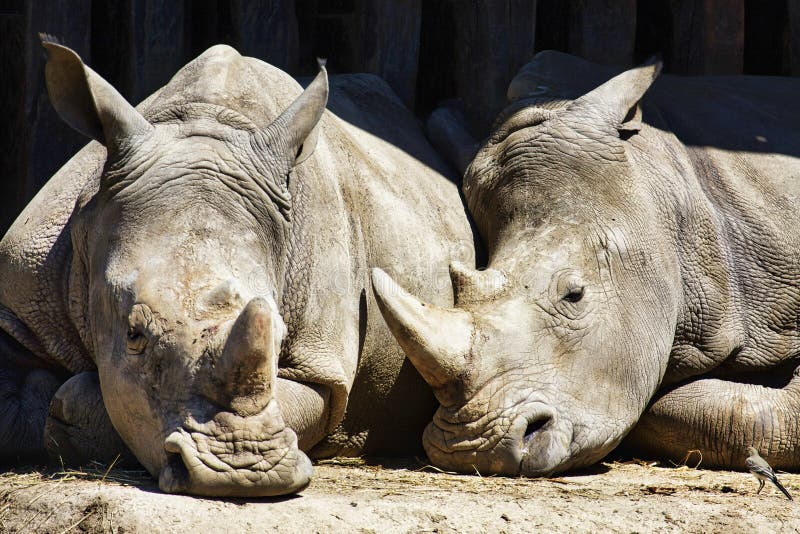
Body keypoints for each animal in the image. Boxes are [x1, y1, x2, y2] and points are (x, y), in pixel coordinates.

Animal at [0, 38, 474, 496]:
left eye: (280, 337)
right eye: (133, 334)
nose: (243, 469)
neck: (206, 123)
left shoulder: (320, 370)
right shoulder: (19, 303)